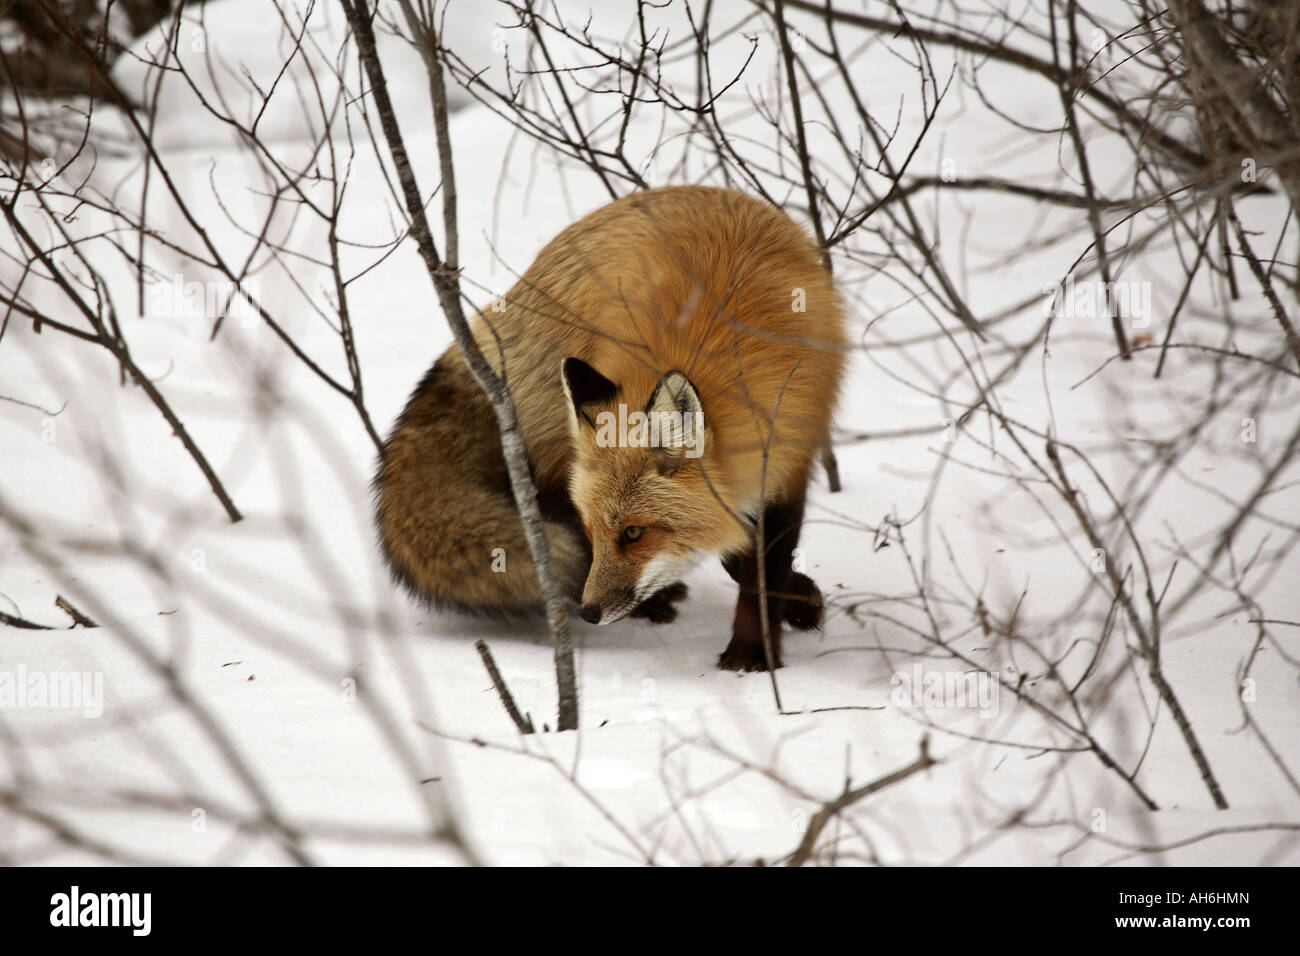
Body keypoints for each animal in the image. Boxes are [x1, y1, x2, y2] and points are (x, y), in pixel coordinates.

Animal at [373, 185, 848, 670]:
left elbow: (764, 568)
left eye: (633, 533)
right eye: (593, 530)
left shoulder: (789, 462)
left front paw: (752, 656)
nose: (590, 611)